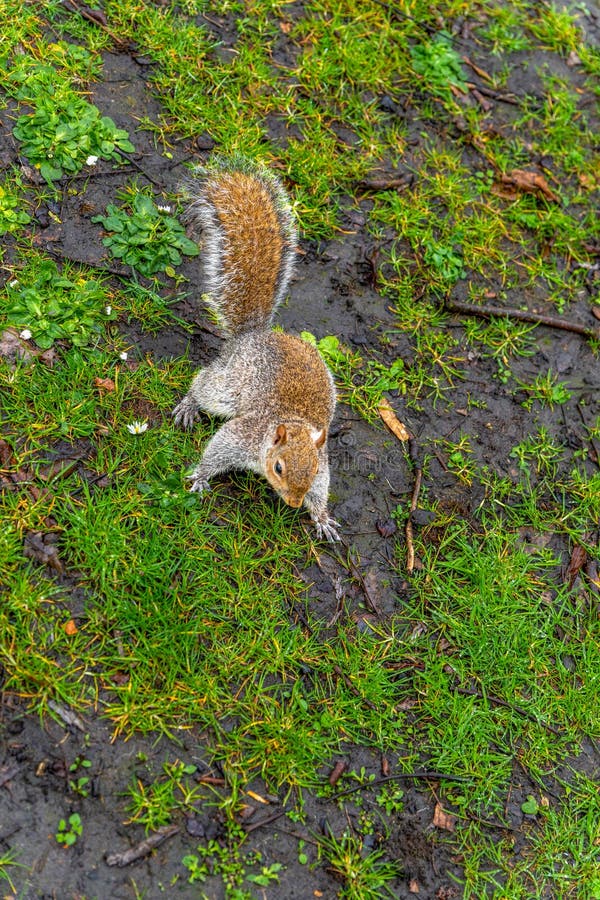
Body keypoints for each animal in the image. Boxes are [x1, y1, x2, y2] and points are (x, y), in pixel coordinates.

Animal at [172, 157, 340, 542]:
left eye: (311, 471)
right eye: (278, 467)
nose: (294, 503)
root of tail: (253, 336)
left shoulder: (322, 463)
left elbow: (322, 491)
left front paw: (321, 516)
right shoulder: (242, 436)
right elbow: (216, 451)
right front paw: (200, 476)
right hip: (229, 385)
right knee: (204, 384)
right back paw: (189, 405)